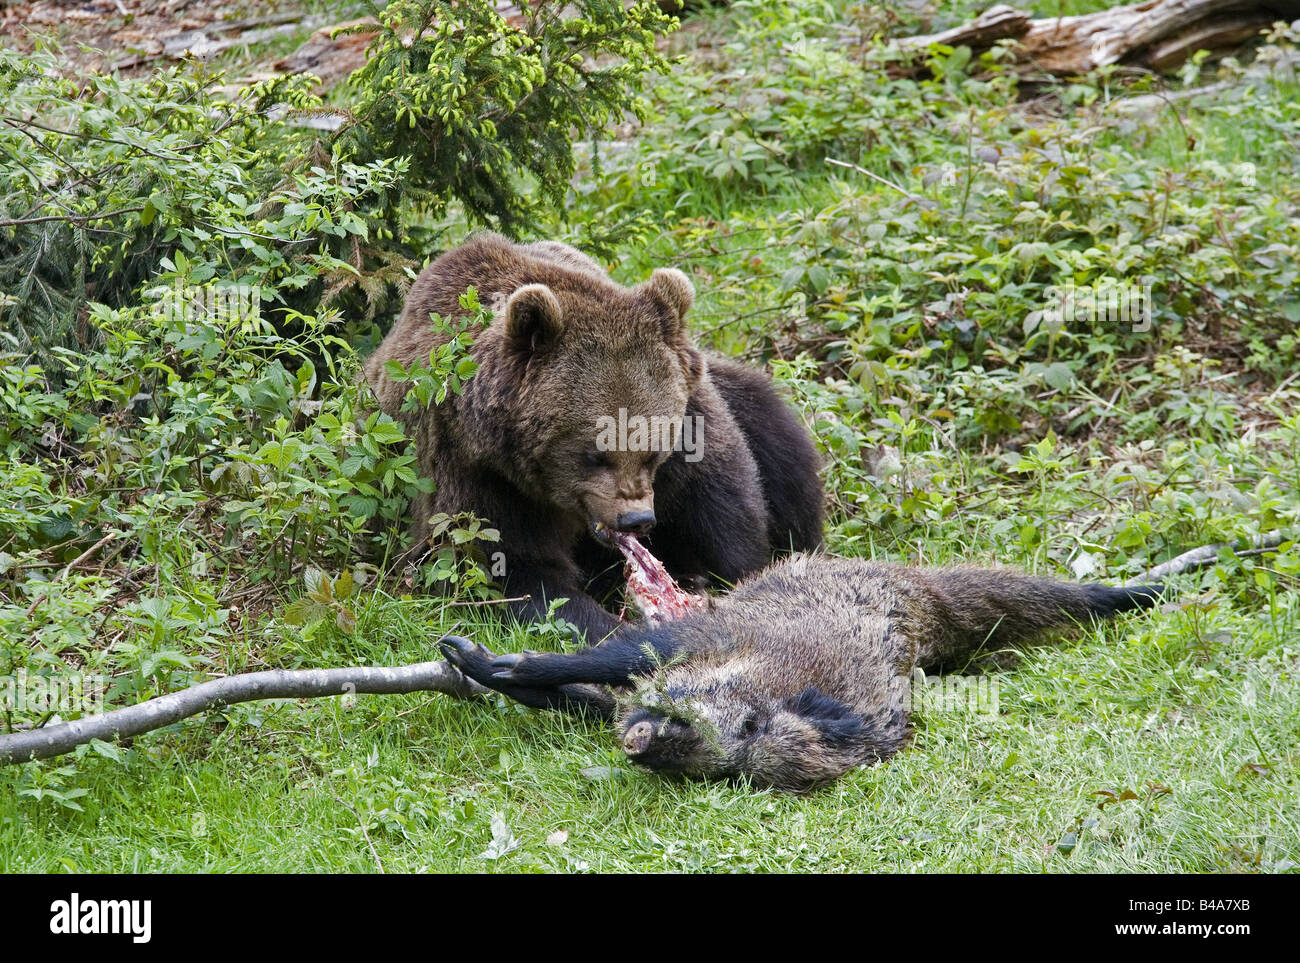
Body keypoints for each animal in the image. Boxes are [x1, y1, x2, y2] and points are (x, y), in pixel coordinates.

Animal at [363, 233, 823, 639]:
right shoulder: (473, 469)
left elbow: (723, 503)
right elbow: (511, 566)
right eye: (594, 454)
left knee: (780, 444)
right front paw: (609, 626)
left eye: (653, 452)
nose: (636, 519)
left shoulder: (694, 426)